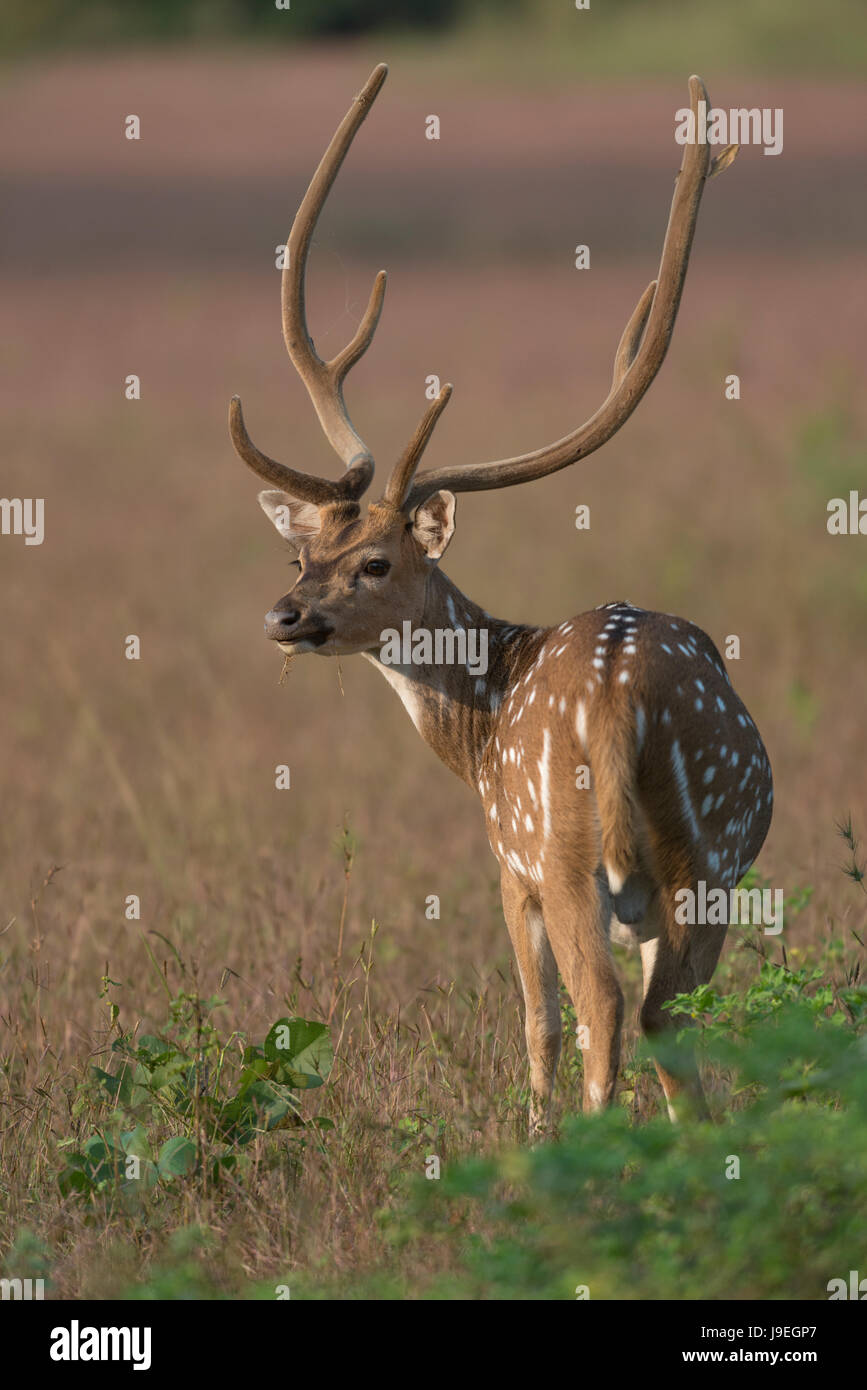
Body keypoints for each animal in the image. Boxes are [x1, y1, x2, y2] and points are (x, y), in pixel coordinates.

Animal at [228, 64, 773, 1134]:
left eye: (376, 563)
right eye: (302, 551)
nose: (284, 617)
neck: (474, 731)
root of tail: (618, 695)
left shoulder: (503, 861)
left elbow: (536, 1023)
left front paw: (533, 1138)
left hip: (559, 848)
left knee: (602, 1008)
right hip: (713, 852)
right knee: (668, 1020)